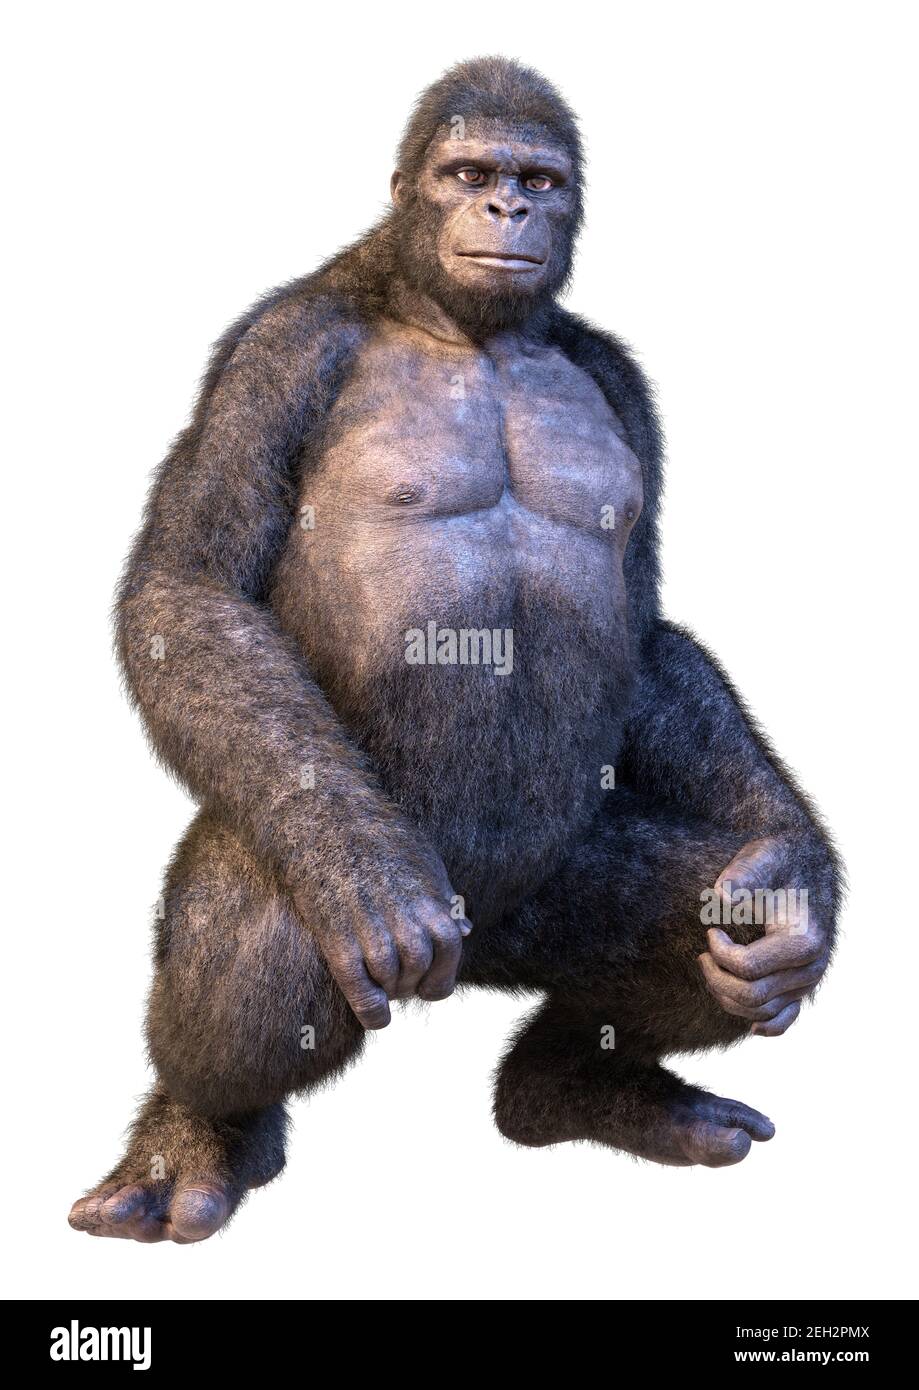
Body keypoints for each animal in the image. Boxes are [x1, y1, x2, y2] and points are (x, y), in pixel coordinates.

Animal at [69, 56, 841, 1244]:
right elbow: (191, 588)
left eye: (537, 178)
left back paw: (577, 1084)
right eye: (469, 174)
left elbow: (645, 629)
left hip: (554, 892)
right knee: (265, 930)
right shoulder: (278, 352)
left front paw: (792, 862)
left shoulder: (618, 377)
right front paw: (363, 871)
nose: (507, 212)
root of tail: (483, 952)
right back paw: (197, 1139)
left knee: (709, 918)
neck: (457, 319)